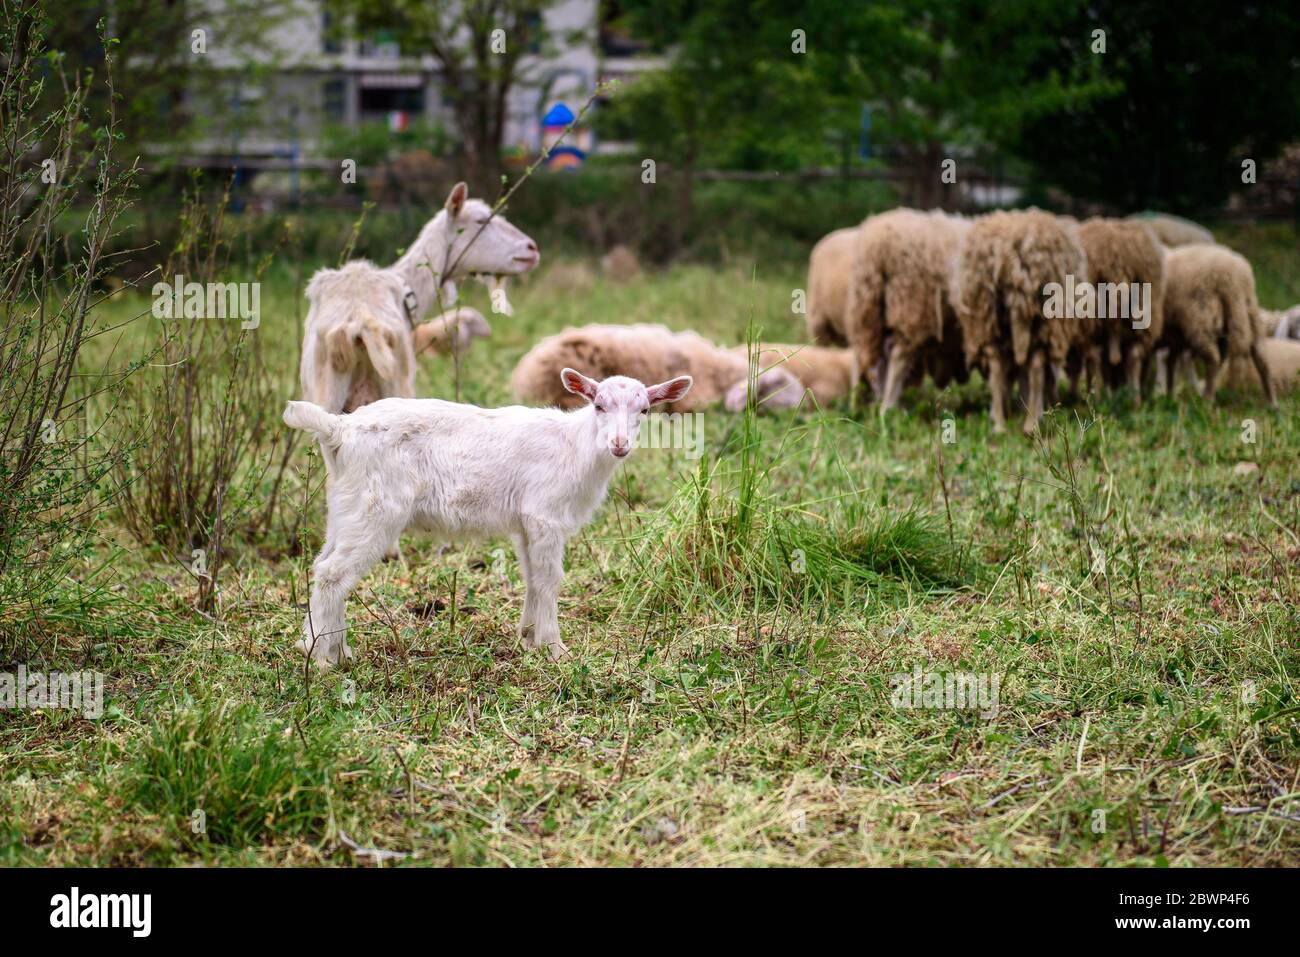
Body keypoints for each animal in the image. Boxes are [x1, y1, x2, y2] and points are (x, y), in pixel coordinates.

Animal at [282, 369, 693, 668]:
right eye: (599, 405)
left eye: (644, 410)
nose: (620, 444)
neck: (575, 448)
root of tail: (339, 429)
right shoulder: (544, 515)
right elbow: (549, 580)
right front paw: (555, 649)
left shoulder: (525, 522)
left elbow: (532, 577)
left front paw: (528, 639)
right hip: (376, 508)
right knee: (334, 573)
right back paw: (324, 659)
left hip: (345, 504)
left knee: (323, 564)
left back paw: (324, 646)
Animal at [844, 209, 971, 410]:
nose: (963, 377)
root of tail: (878, 244)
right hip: (912, 305)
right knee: (898, 356)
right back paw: (888, 407)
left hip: (865, 305)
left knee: (862, 356)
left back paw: (857, 405)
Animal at [955, 209, 1090, 435]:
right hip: (1034, 321)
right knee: (1032, 366)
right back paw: (1026, 423)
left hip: (994, 318)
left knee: (1003, 365)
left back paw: (1008, 424)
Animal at [1074, 217, 1165, 400]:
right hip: (1144, 316)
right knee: (1132, 357)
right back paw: (1133, 400)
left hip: (1091, 322)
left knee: (1096, 356)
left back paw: (1099, 398)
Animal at [1157, 243, 1276, 406]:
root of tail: (1235, 277)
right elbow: (1170, 362)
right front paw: (1168, 396)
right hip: (1249, 315)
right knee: (1262, 359)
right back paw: (1273, 404)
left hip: (1200, 318)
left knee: (1213, 359)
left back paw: (1206, 400)